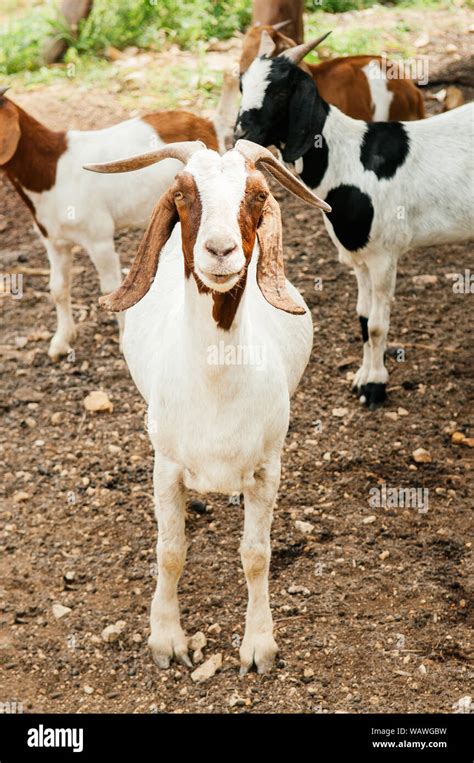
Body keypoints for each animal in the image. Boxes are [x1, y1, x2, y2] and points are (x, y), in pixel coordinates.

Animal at [0, 87, 226, 360]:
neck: (51, 171)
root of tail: (207, 123)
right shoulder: (54, 241)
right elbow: (57, 288)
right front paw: (60, 342)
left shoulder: (99, 240)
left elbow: (111, 286)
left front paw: (124, 342)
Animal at [84, 140, 329, 673]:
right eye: (181, 192)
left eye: (257, 194)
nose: (219, 251)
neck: (215, 384)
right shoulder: (166, 465)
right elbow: (170, 550)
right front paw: (165, 639)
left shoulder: (268, 467)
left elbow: (257, 554)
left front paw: (258, 644)